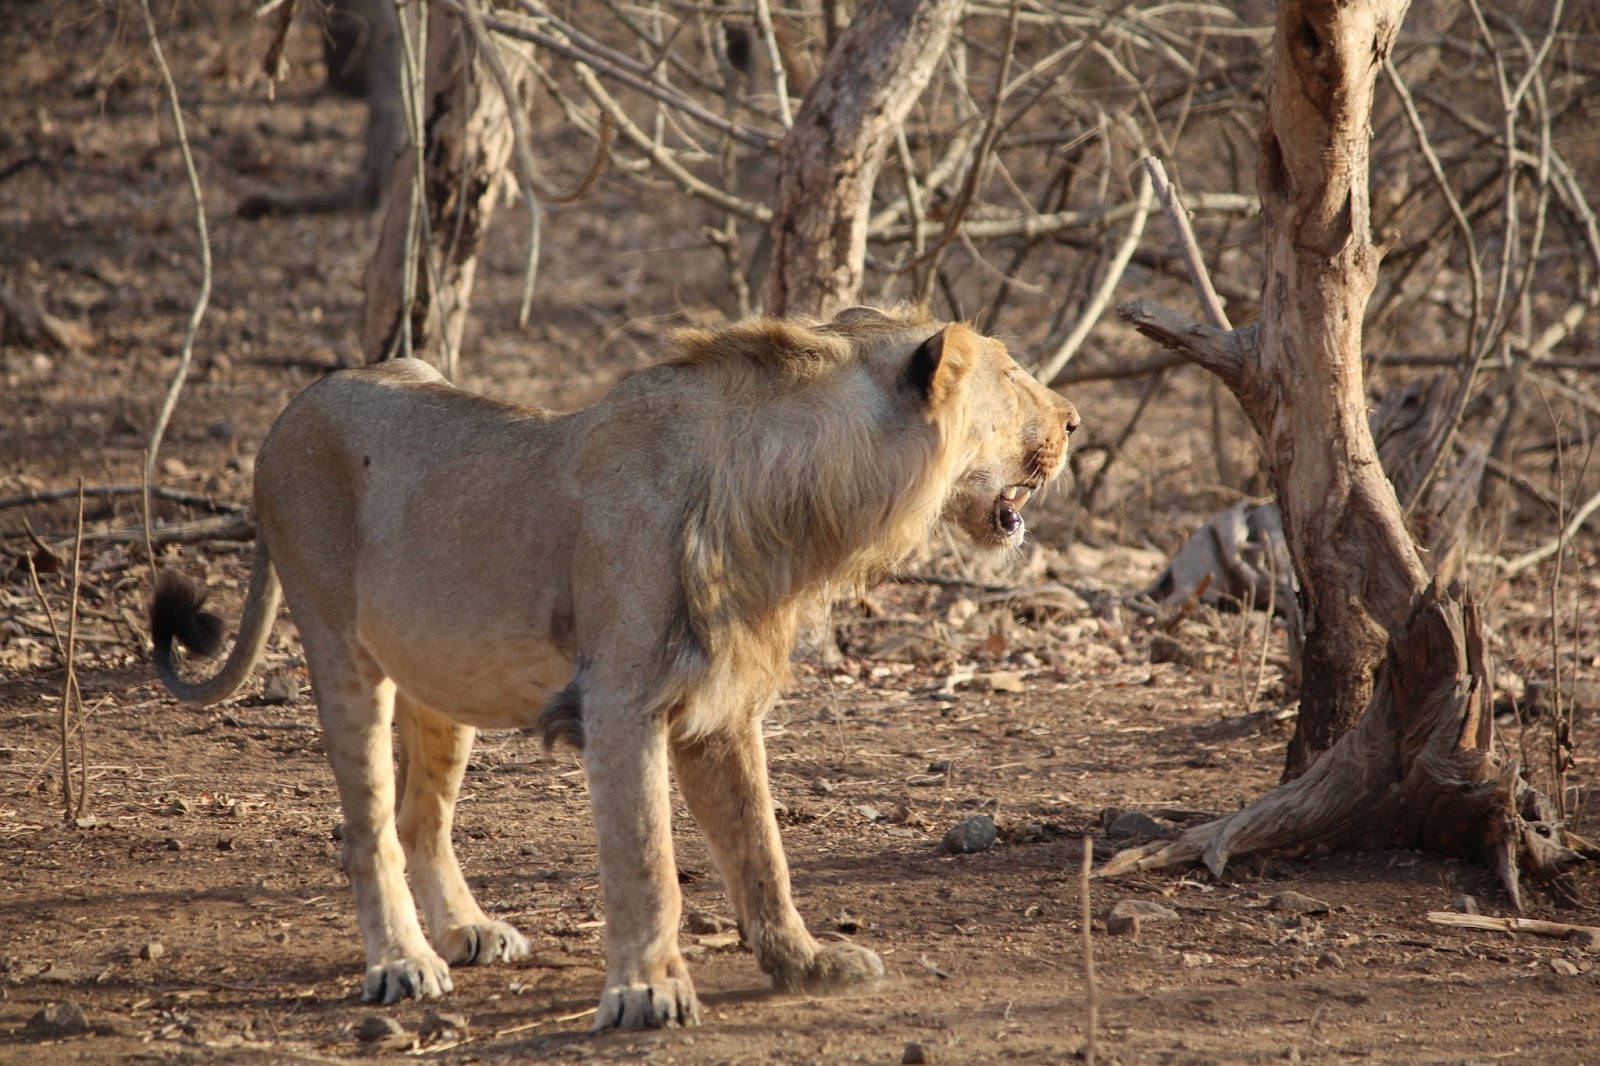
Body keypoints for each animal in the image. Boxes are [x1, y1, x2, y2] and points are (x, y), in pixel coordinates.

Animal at [150, 305, 1079, 1030]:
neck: (796, 508)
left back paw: (468, 932)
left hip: (441, 674)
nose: (1074, 421)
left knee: (422, 819)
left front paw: (807, 964)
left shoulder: (722, 709)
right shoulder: (621, 699)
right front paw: (648, 991)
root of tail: (295, 405)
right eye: (1013, 373)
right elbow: (647, 858)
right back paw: (404, 963)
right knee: (369, 825)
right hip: (340, 647)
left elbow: (762, 850)